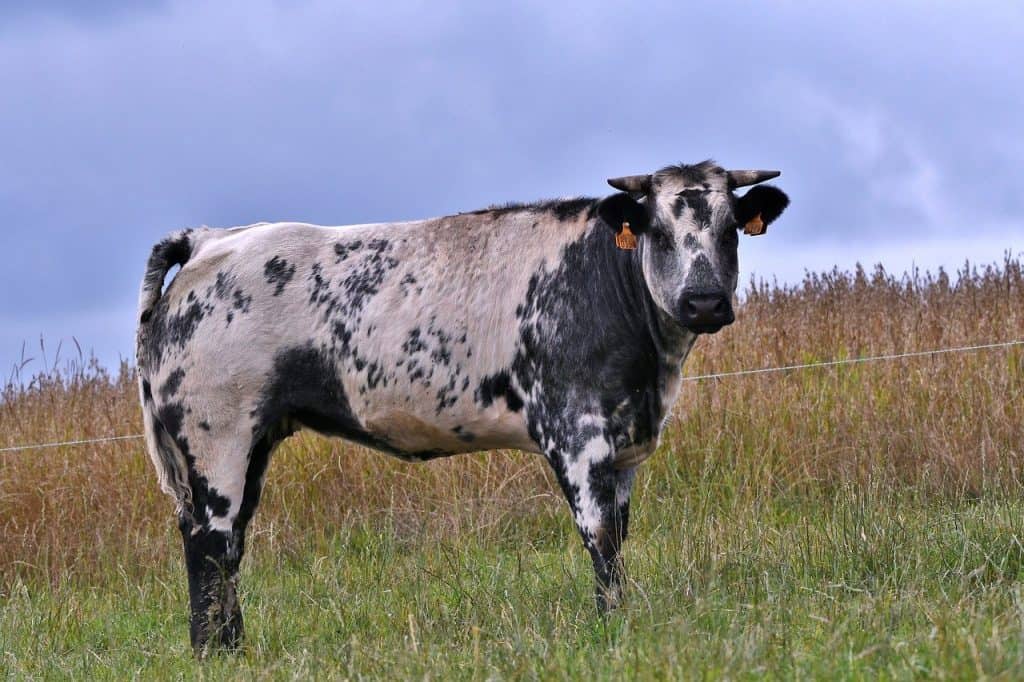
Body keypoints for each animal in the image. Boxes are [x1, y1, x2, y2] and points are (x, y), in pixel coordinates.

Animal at [136, 160, 789, 656]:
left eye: (731, 228)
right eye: (656, 229)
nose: (703, 301)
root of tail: (212, 239)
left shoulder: (624, 443)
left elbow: (620, 534)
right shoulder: (577, 433)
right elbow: (600, 537)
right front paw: (612, 628)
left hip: (253, 442)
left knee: (230, 543)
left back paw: (230, 648)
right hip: (217, 436)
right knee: (210, 542)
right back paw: (215, 652)